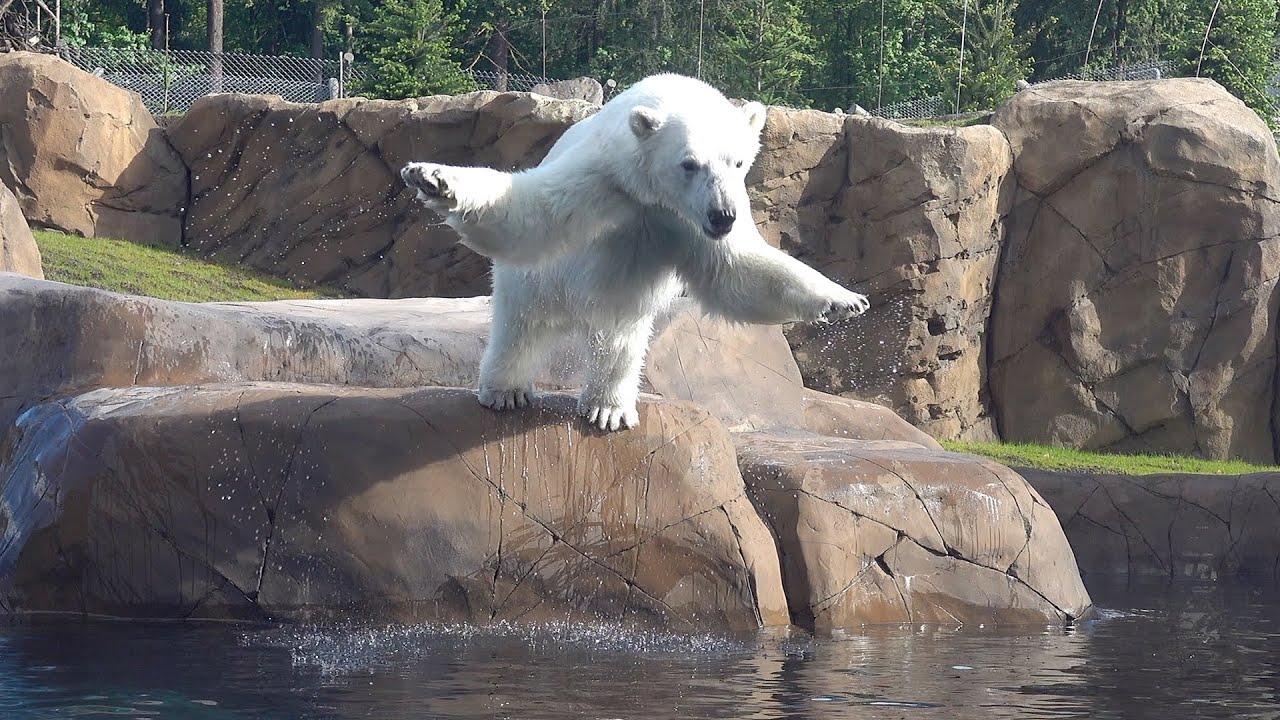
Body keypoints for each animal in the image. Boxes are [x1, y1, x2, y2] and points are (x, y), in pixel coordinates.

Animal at [401, 73, 869, 431]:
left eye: (737, 162)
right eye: (689, 163)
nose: (723, 216)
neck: (649, 194)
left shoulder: (684, 223)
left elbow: (736, 271)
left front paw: (844, 301)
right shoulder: (604, 177)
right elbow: (532, 211)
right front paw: (433, 178)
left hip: (621, 309)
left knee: (621, 344)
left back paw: (608, 409)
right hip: (536, 284)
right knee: (521, 326)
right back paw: (506, 390)